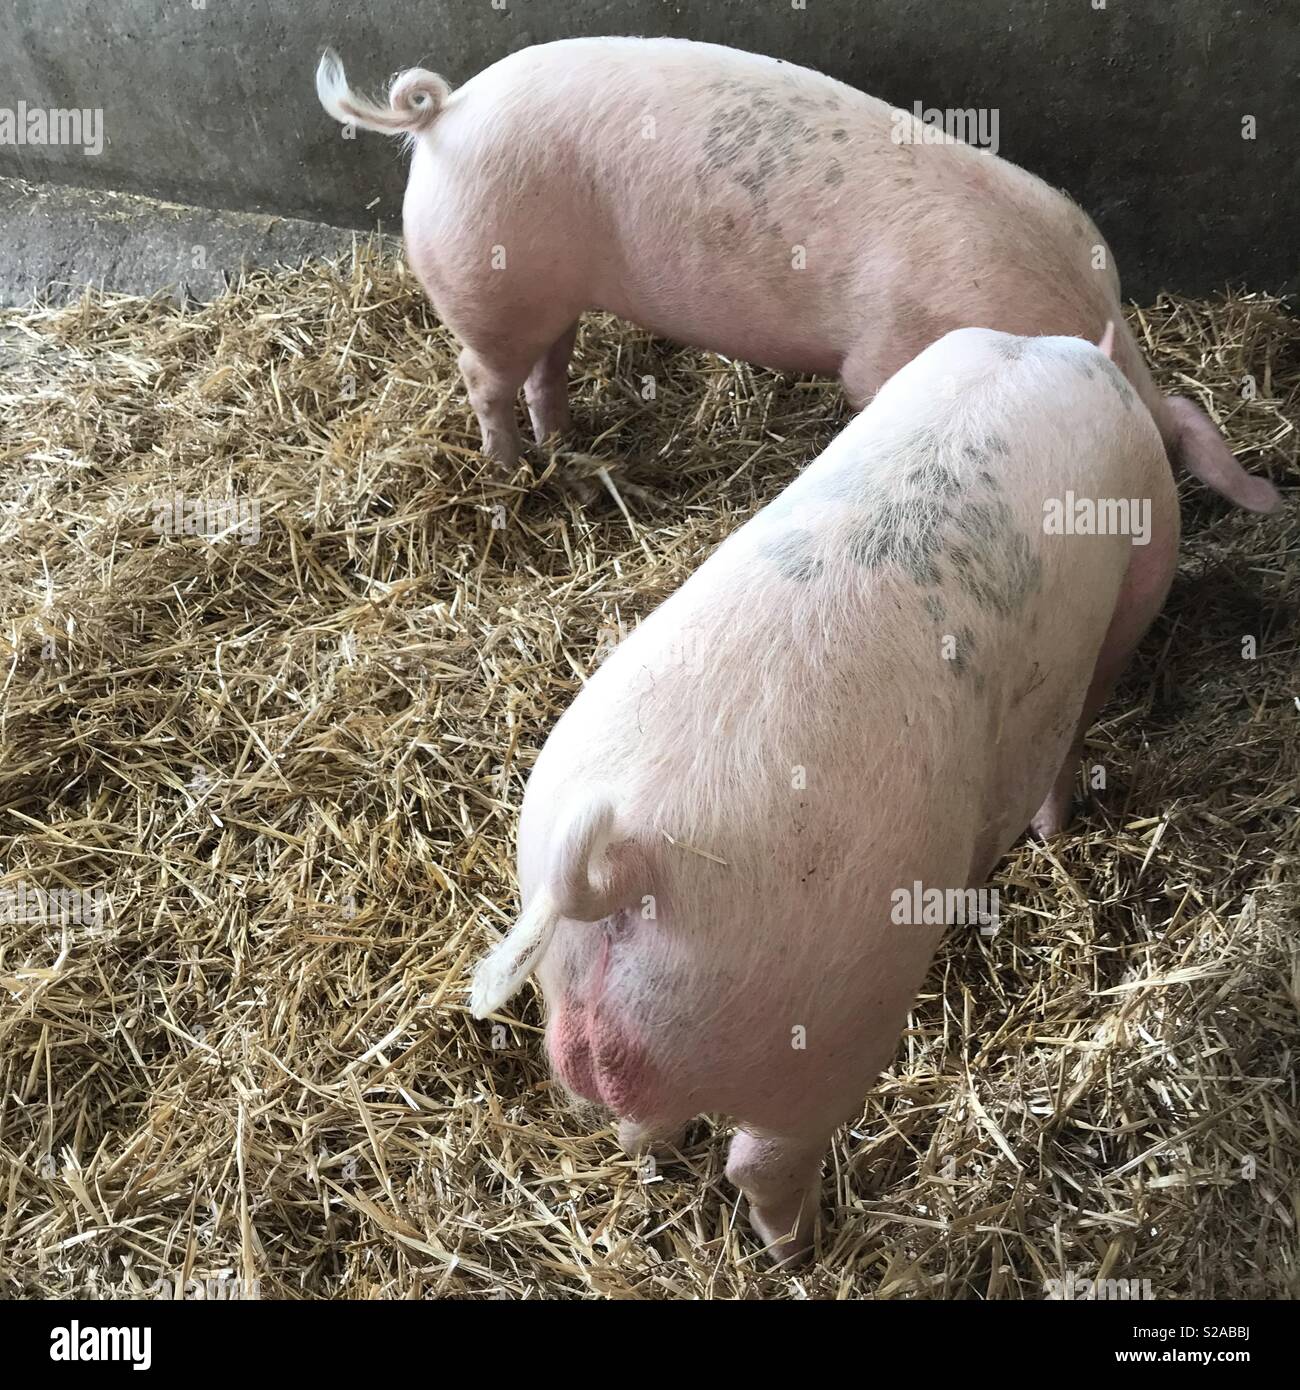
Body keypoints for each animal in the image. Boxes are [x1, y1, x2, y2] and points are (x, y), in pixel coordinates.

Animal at [316, 37, 1279, 513]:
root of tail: (446, 113)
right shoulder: (883, 359)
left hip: (552, 298)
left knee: (549, 368)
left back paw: (567, 444)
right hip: (489, 285)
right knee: (481, 375)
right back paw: (510, 473)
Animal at [467, 326, 1180, 1263]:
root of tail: (619, 868)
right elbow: (1064, 746)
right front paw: (1055, 832)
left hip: (581, 984)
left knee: (638, 1125)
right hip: (828, 1026)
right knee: (760, 1164)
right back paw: (803, 1248)